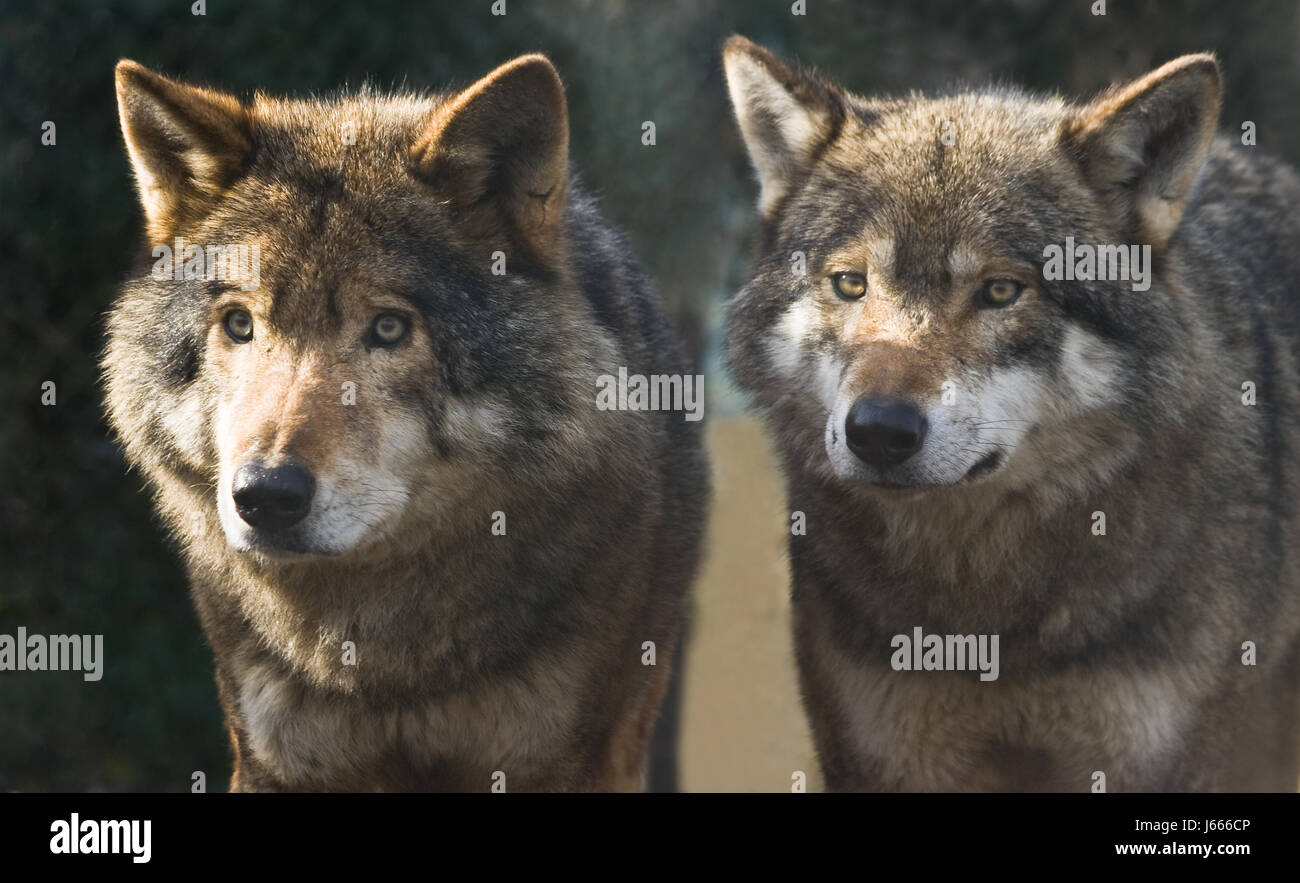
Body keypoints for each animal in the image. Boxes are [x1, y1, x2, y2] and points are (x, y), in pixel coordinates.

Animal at [104, 54, 708, 791]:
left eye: (389, 328)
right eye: (240, 325)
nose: (266, 496)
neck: (383, 665)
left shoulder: (566, 761)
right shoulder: (274, 759)